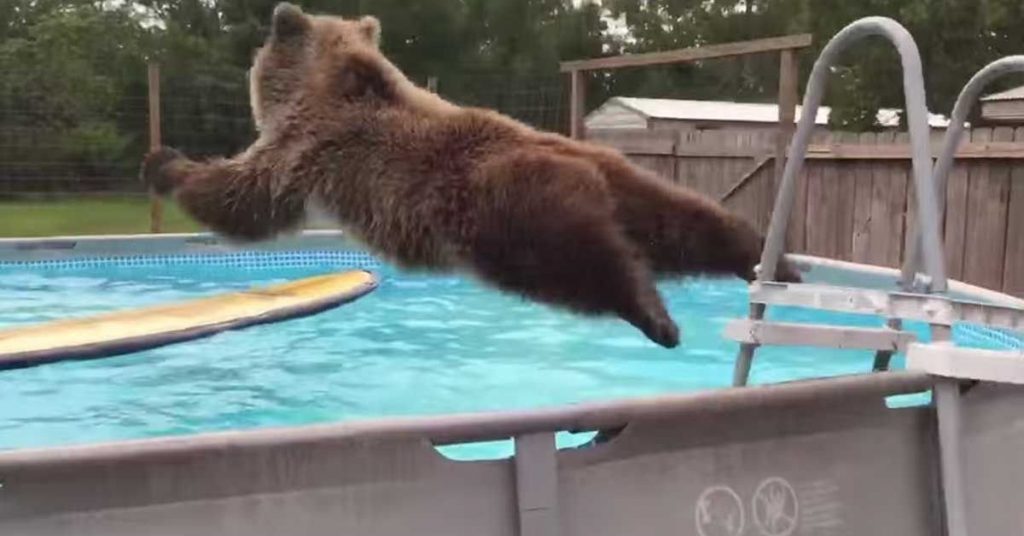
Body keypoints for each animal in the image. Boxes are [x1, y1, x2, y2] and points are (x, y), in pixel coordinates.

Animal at [141, 2, 802, 349]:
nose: (279, 15)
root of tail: (582, 160)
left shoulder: (306, 148)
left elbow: (244, 198)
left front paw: (165, 163)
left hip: (500, 214)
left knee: (584, 265)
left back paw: (654, 316)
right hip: (629, 183)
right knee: (689, 223)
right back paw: (769, 260)